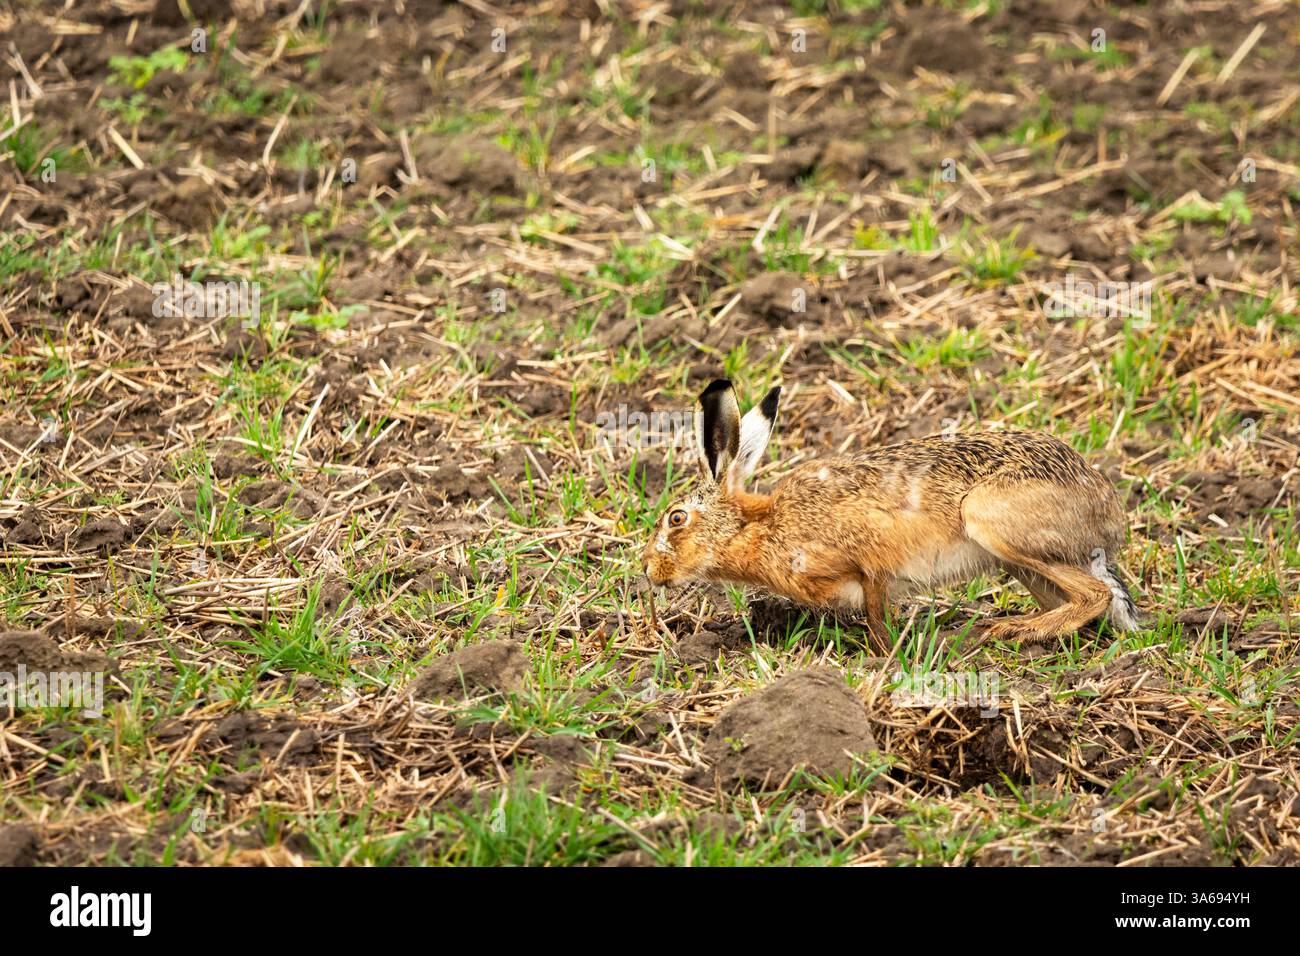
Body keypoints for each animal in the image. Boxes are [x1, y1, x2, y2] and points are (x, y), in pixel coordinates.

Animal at [642, 379, 1139, 652]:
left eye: (676, 519)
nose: (649, 569)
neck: (762, 527)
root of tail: (1106, 509)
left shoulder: (869, 566)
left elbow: (878, 618)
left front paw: (882, 657)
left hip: (989, 520)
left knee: (1093, 595)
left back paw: (1012, 631)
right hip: (1015, 559)